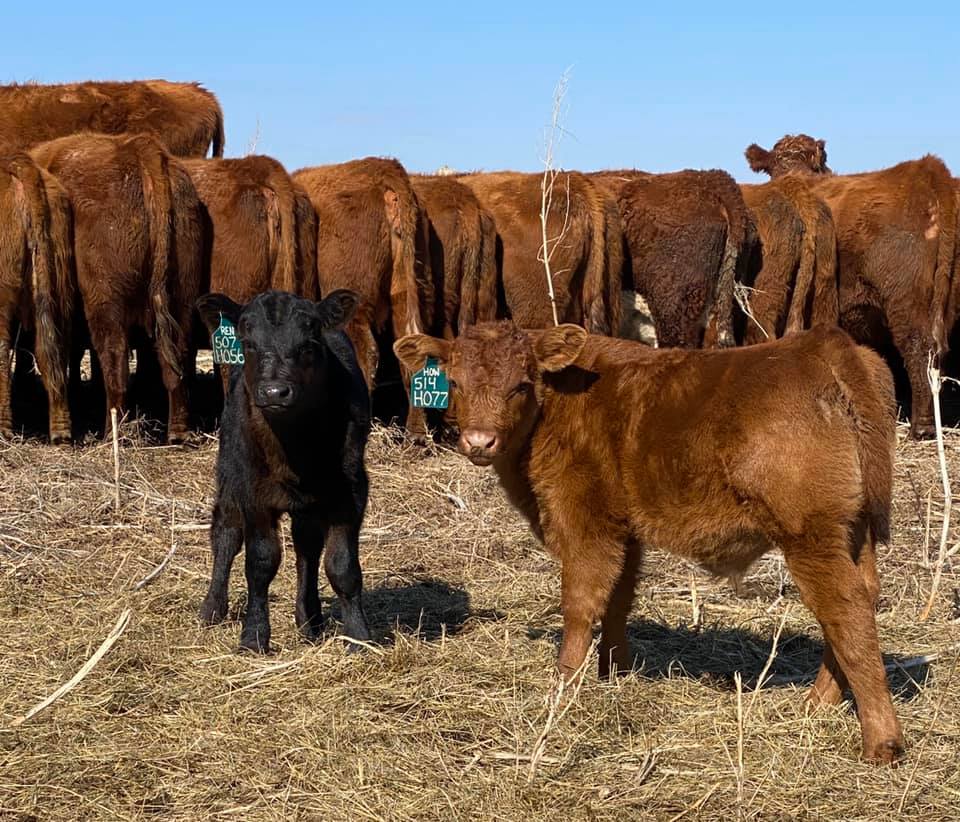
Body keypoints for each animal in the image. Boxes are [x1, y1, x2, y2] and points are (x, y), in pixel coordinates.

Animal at [30, 132, 203, 443]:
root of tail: (140, 149)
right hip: (181, 300)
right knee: (178, 362)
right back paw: (177, 434)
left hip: (105, 305)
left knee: (115, 364)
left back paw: (111, 435)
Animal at [195, 289, 371, 653]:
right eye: (248, 343)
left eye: (308, 344)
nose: (275, 391)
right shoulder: (252, 490)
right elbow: (261, 562)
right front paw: (253, 636)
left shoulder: (351, 490)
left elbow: (342, 565)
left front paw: (359, 636)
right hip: (229, 473)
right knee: (226, 533)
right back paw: (212, 608)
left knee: (307, 547)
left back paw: (309, 619)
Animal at [395, 321, 903, 764]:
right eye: (455, 382)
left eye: (521, 384)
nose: (479, 441)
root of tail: (823, 344)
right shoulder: (625, 529)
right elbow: (619, 600)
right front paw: (614, 674)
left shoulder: (584, 522)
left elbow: (580, 604)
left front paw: (564, 688)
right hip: (854, 532)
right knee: (862, 597)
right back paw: (816, 705)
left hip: (810, 534)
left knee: (844, 610)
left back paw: (881, 741)